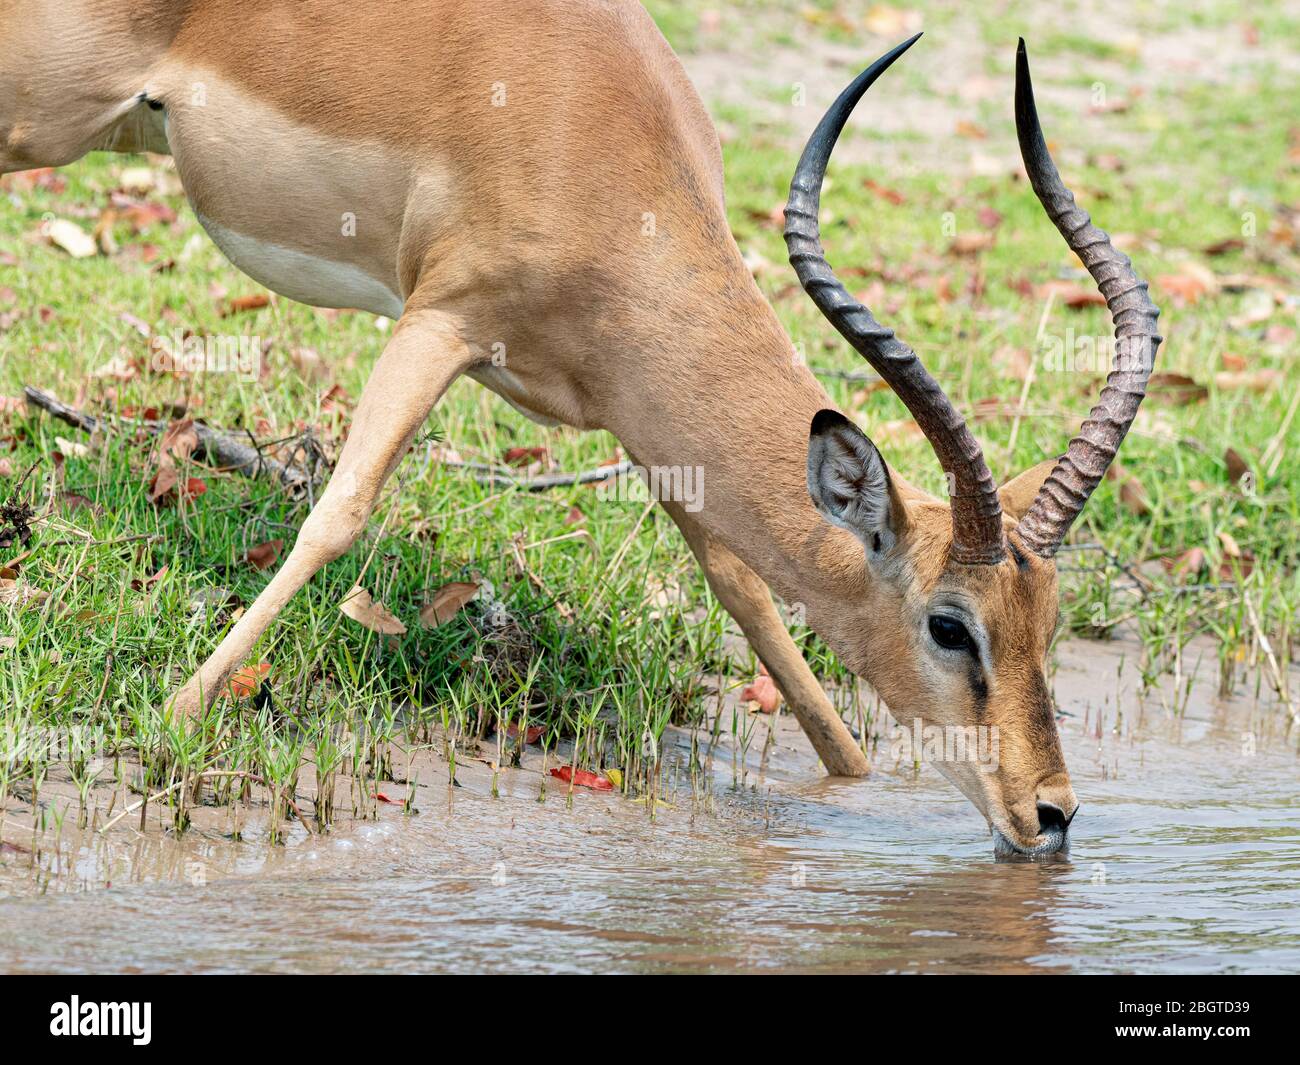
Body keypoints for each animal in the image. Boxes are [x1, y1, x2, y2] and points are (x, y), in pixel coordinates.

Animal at [0, 2, 1160, 858]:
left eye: (1048, 619)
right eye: (950, 625)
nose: (1050, 816)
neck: (598, 140)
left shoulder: (642, 417)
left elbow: (747, 595)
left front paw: (850, 780)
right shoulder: (440, 320)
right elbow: (341, 509)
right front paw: (175, 712)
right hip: (36, 120)